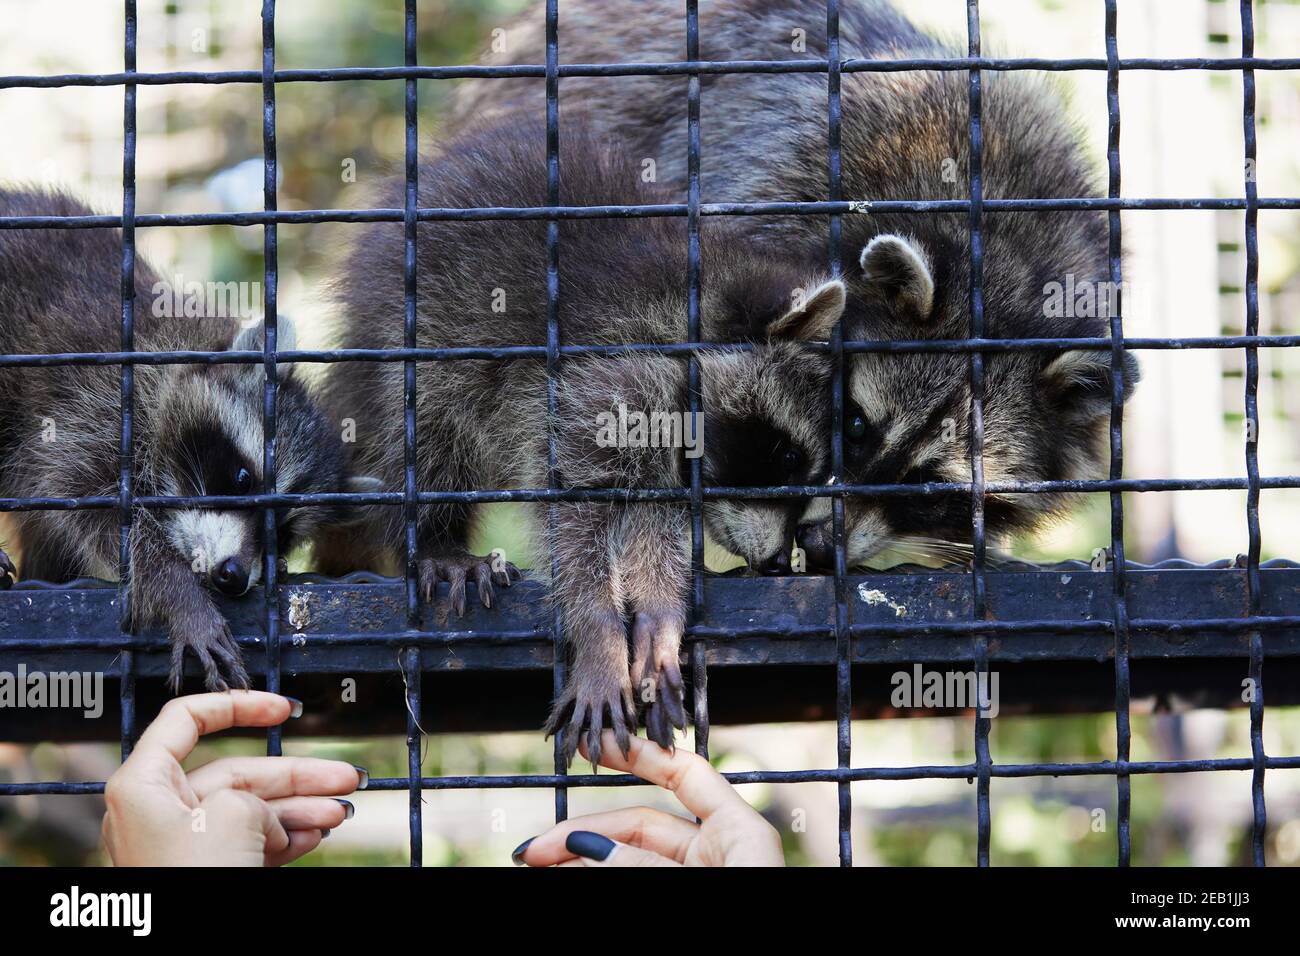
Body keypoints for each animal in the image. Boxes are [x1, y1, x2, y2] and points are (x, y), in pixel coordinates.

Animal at [0, 187, 362, 691]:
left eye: (284, 533)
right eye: (243, 479)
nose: (233, 575)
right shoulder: (93, 407)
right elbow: (93, 504)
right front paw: (176, 589)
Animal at [316, 118, 844, 760]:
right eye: (786, 455)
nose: (777, 561)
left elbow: (649, 527)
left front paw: (659, 610)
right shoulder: (594, 382)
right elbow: (569, 514)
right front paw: (597, 629)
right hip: (415, 331)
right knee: (428, 427)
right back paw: (438, 538)